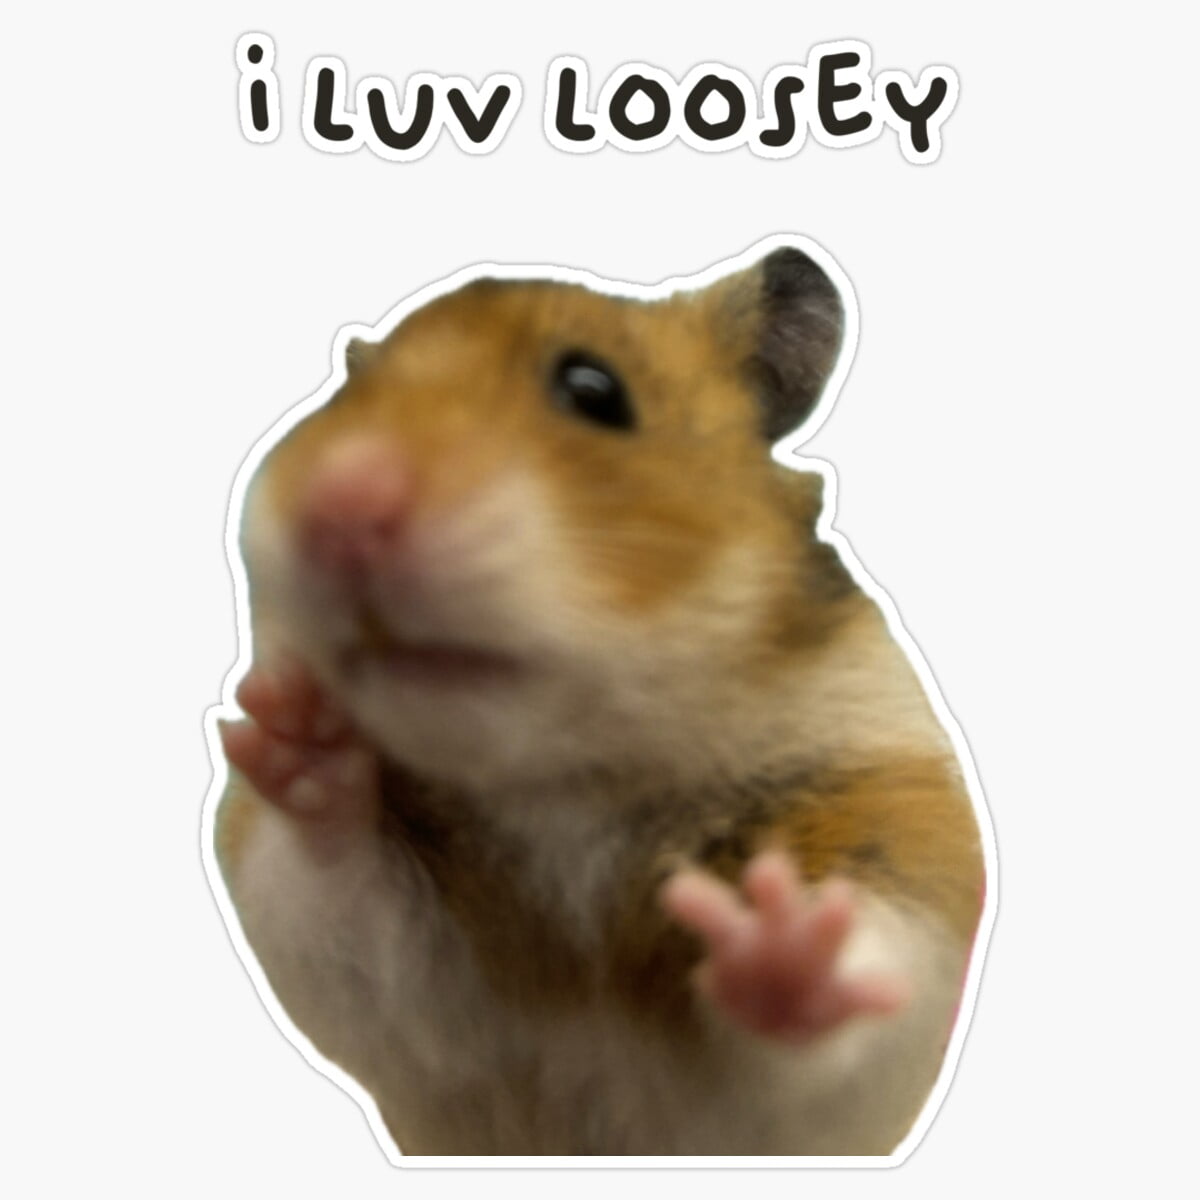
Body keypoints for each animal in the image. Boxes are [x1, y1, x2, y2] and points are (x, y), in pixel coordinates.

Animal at [212, 245, 986, 1157]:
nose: (332, 505)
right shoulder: (391, 986)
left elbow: (858, 947)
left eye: (593, 390)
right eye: (344, 395)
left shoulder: (896, 824)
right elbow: (333, 891)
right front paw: (295, 726)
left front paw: (778, 932)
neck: (565, 785)